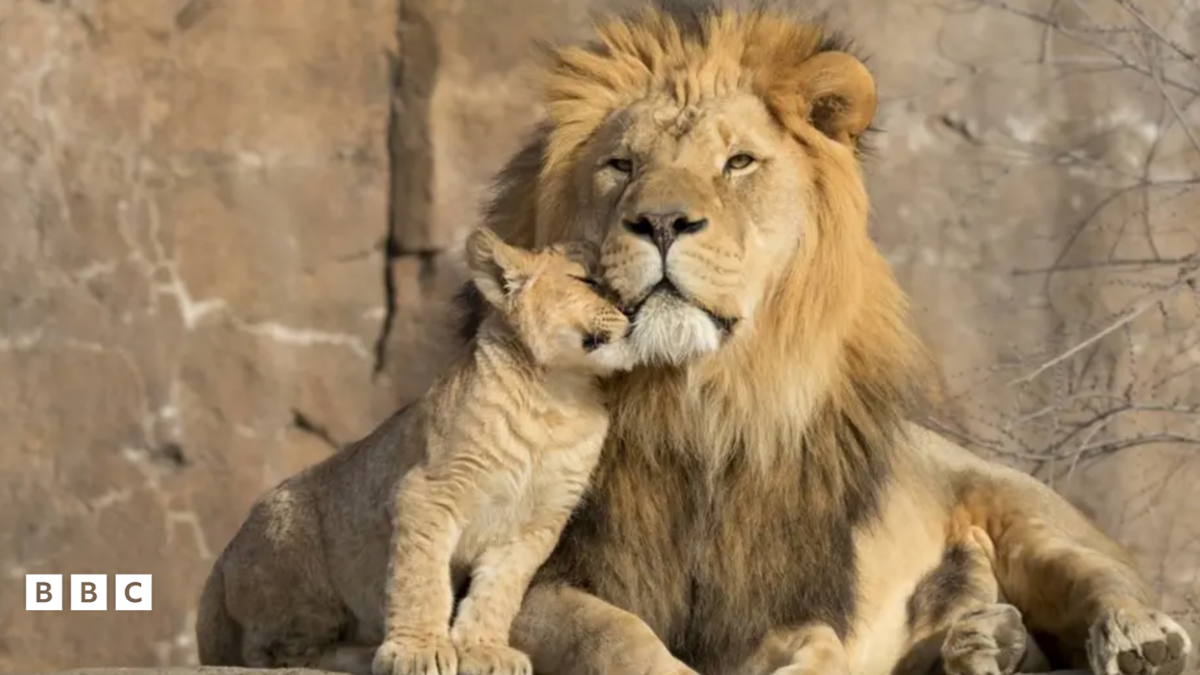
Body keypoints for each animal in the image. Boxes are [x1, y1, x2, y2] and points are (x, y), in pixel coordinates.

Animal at [195, 228, 636, 673]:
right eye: (587, 281)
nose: (634, 311)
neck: (559, 396)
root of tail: (220, 561)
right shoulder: (429, 490)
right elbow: (422, 579)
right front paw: (419, 650)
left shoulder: (536, 525)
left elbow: (498, 592)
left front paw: (484, 650)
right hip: (295, 549)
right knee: (273, 654)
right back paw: (360, 653)